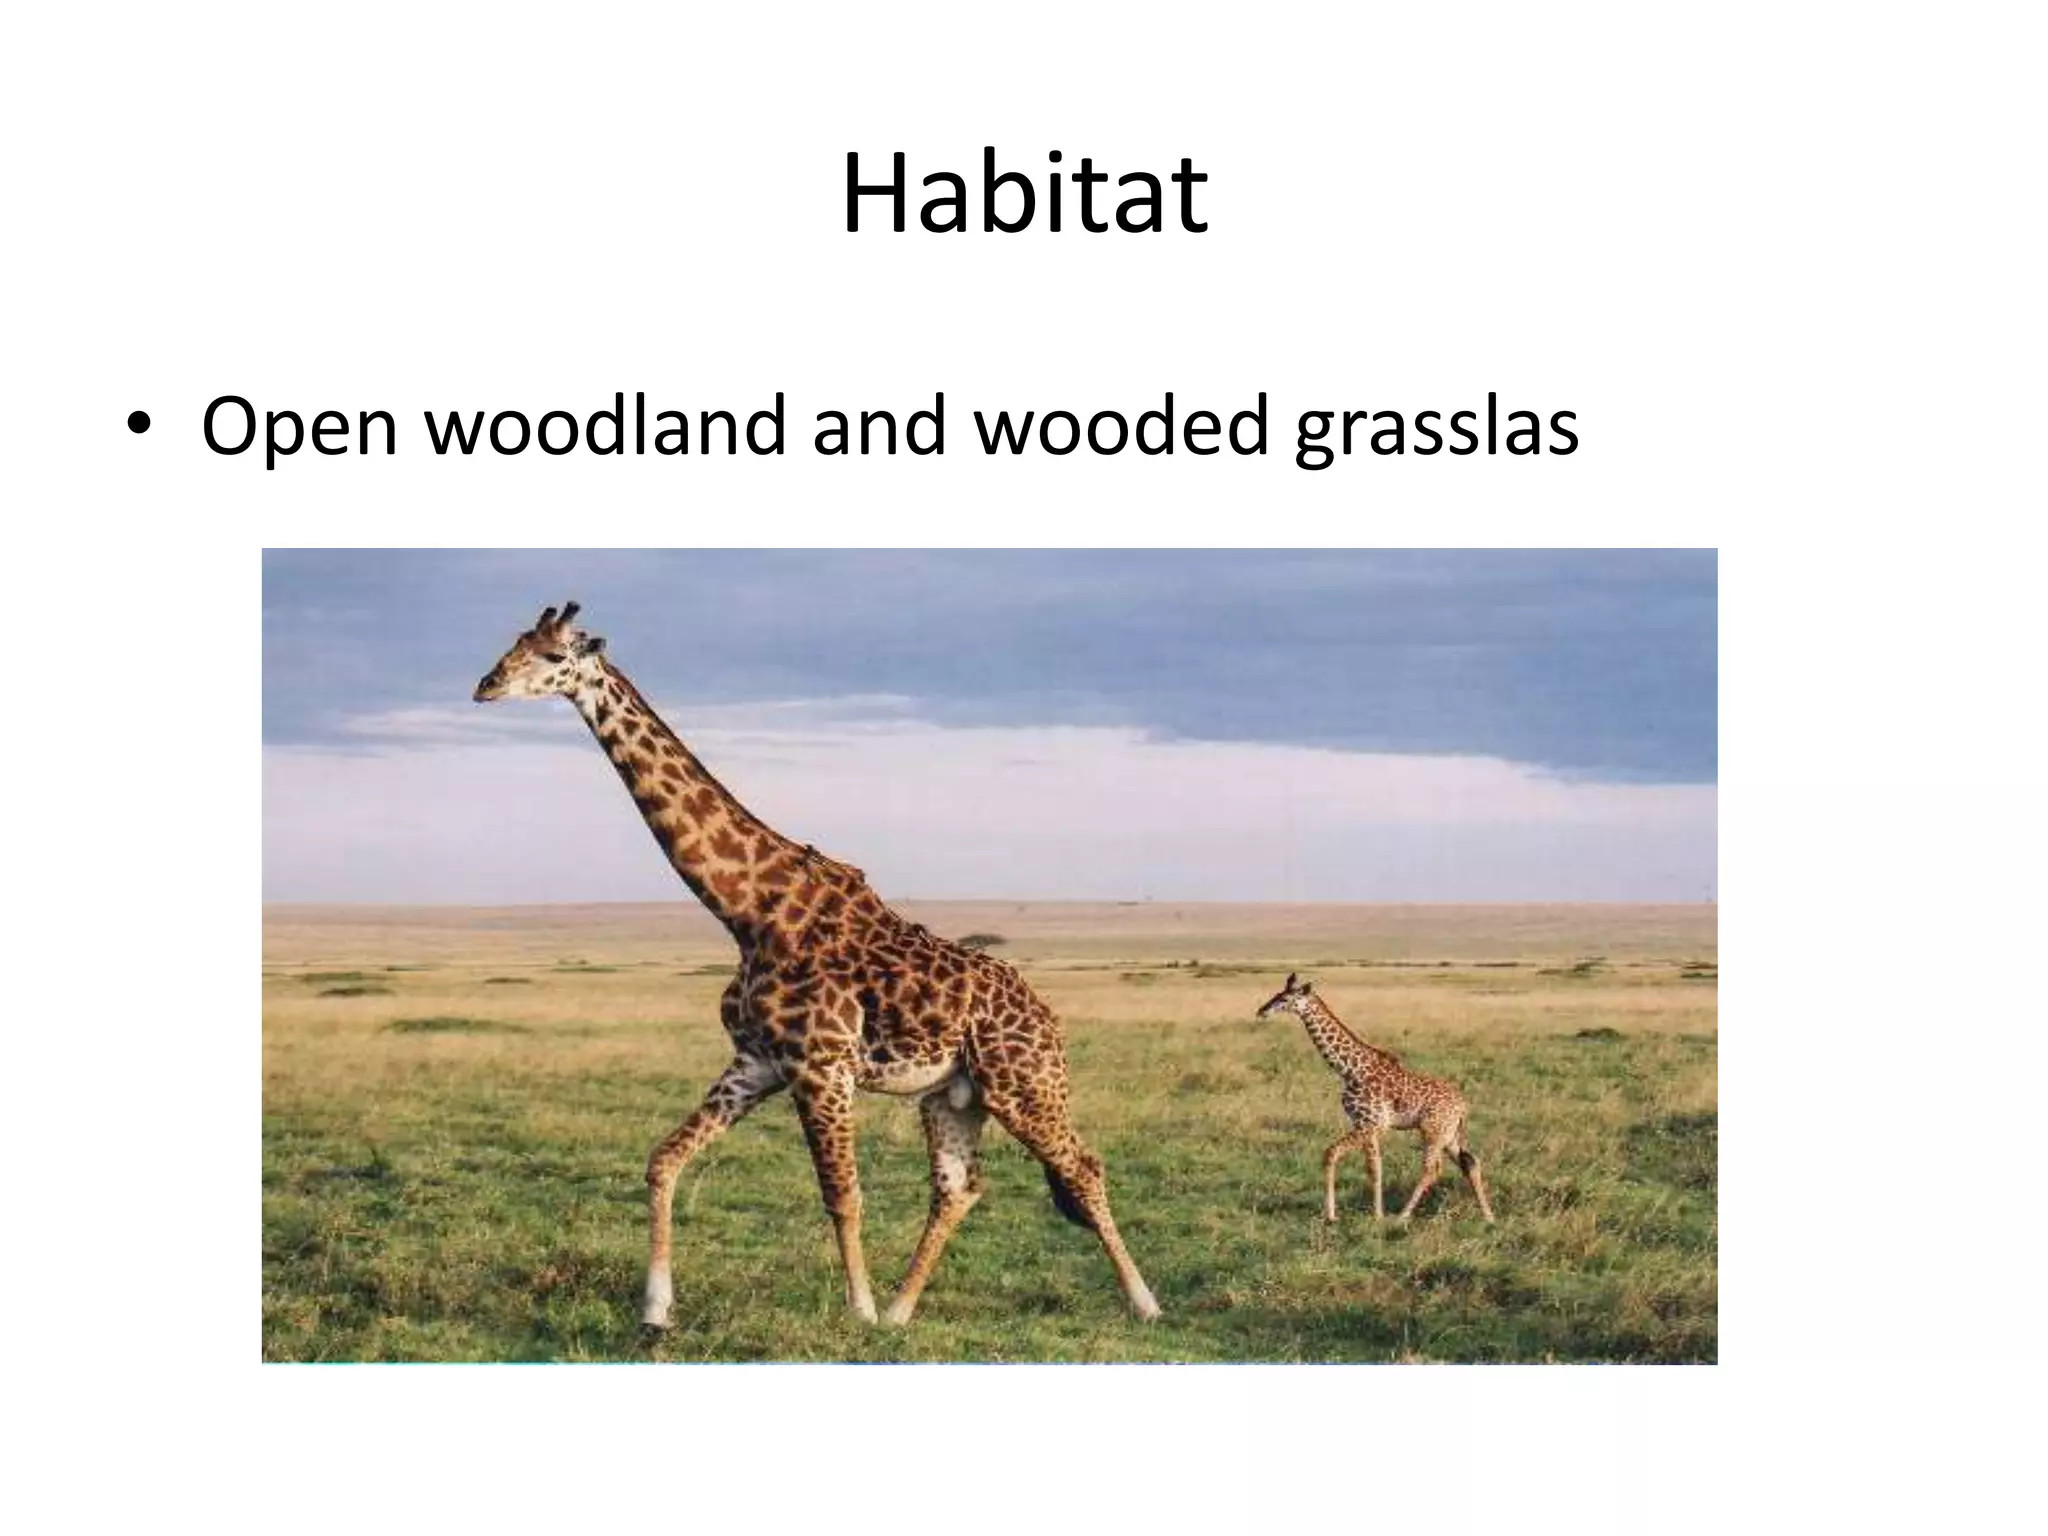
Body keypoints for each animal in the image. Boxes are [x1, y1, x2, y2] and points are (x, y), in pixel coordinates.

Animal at [473, 602, 1160, 1328]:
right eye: (515, 643)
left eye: (554, 657)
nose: (486, 685)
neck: (748, 912)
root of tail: (1050, 1020)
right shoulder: (757, 1062)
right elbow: (664, 1160)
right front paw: (656, 1310)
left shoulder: (821, 1066)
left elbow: (842, 1194)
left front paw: (857, 1310)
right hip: (952, 1097)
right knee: (960, 1187)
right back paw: (902, 1311)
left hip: (1024, 1085)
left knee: (1082, 1167)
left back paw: (1143, 1302)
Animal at [1254, 972, 1495, 1224]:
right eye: (1276, 994)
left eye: (1285, 999)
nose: (1262, 1011)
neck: (1349, 1069)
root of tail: (1462, 1106)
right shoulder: (1367, 1126)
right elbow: (1375, 1168)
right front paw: (1374, 1213)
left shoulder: (1370, 1124)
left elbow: (1336, 1154)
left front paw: (1341, 1215)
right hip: (1449, 1135)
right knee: (1471, 1163)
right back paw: (1488, 1216)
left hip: (1433, 1131)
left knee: (1432, 1169)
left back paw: (1402, 1215)